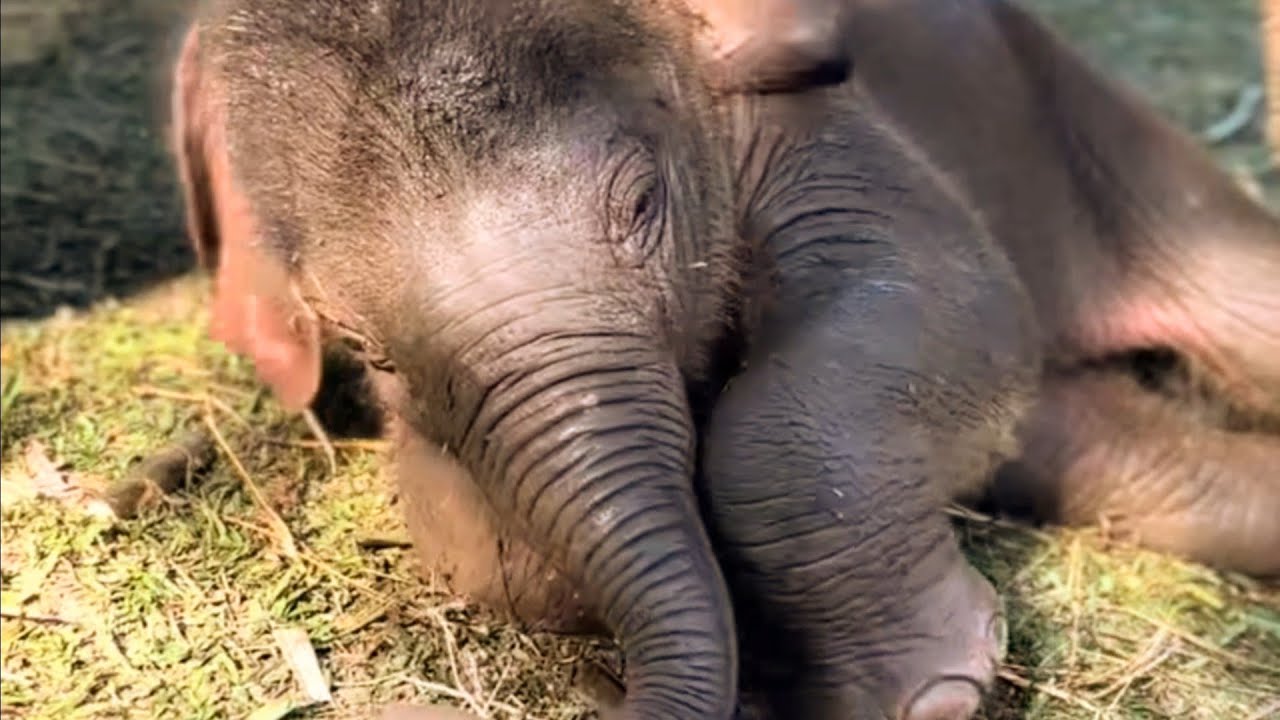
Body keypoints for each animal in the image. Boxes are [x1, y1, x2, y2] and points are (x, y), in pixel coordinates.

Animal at [166, 0, 1279, 719]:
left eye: (641, 205)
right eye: (361, 345)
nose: (605, 693)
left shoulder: (808, 116)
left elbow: (950, 293)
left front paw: (928, 696)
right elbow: (481, 552)